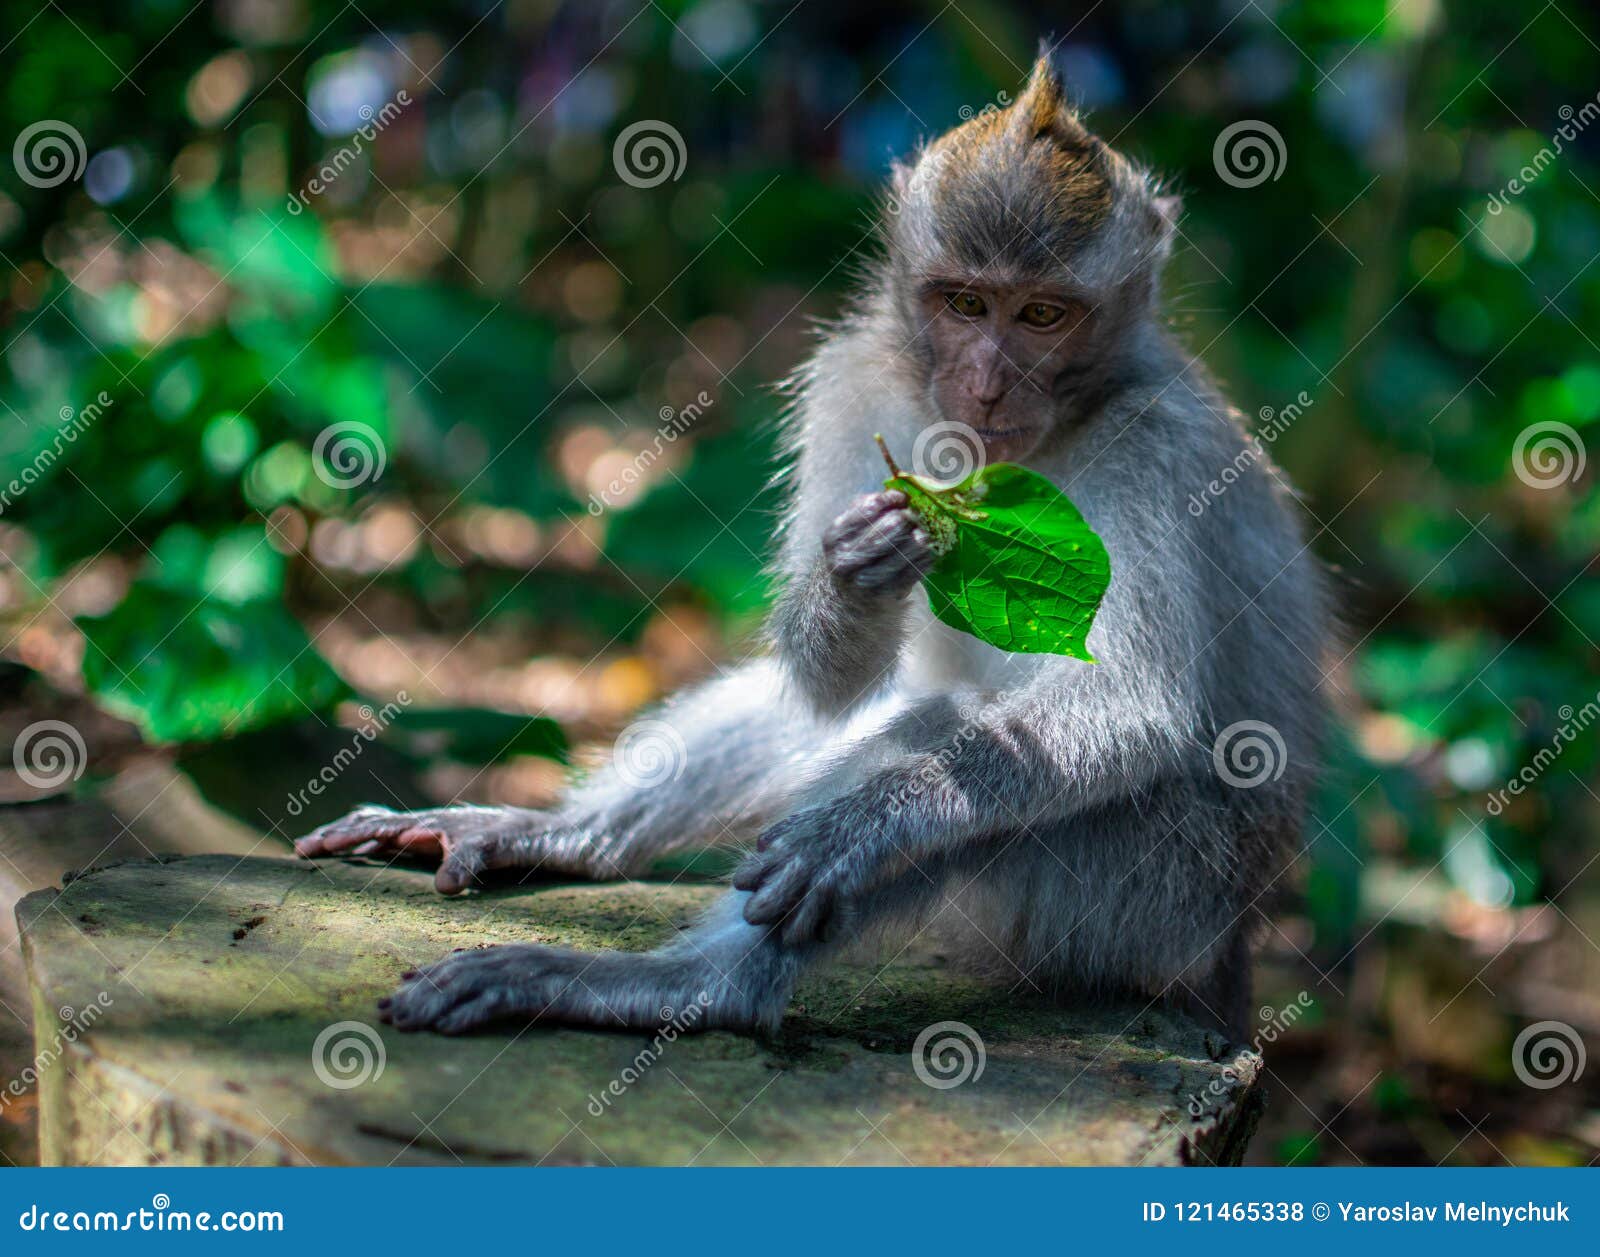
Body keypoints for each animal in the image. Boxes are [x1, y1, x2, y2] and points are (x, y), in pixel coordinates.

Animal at [295, 54, 1330, 1042]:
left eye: (1042, 315)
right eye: (965, 303)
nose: (986, 385)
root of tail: (1230, 942)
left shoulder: (1153, 443)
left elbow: (1132, 707)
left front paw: (869, 825)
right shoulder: (853, 373)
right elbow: (833, 686)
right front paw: (855, 574)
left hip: (1145, 899)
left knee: (953, 753)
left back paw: (691, 983)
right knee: (878, 707)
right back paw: (564, 837)